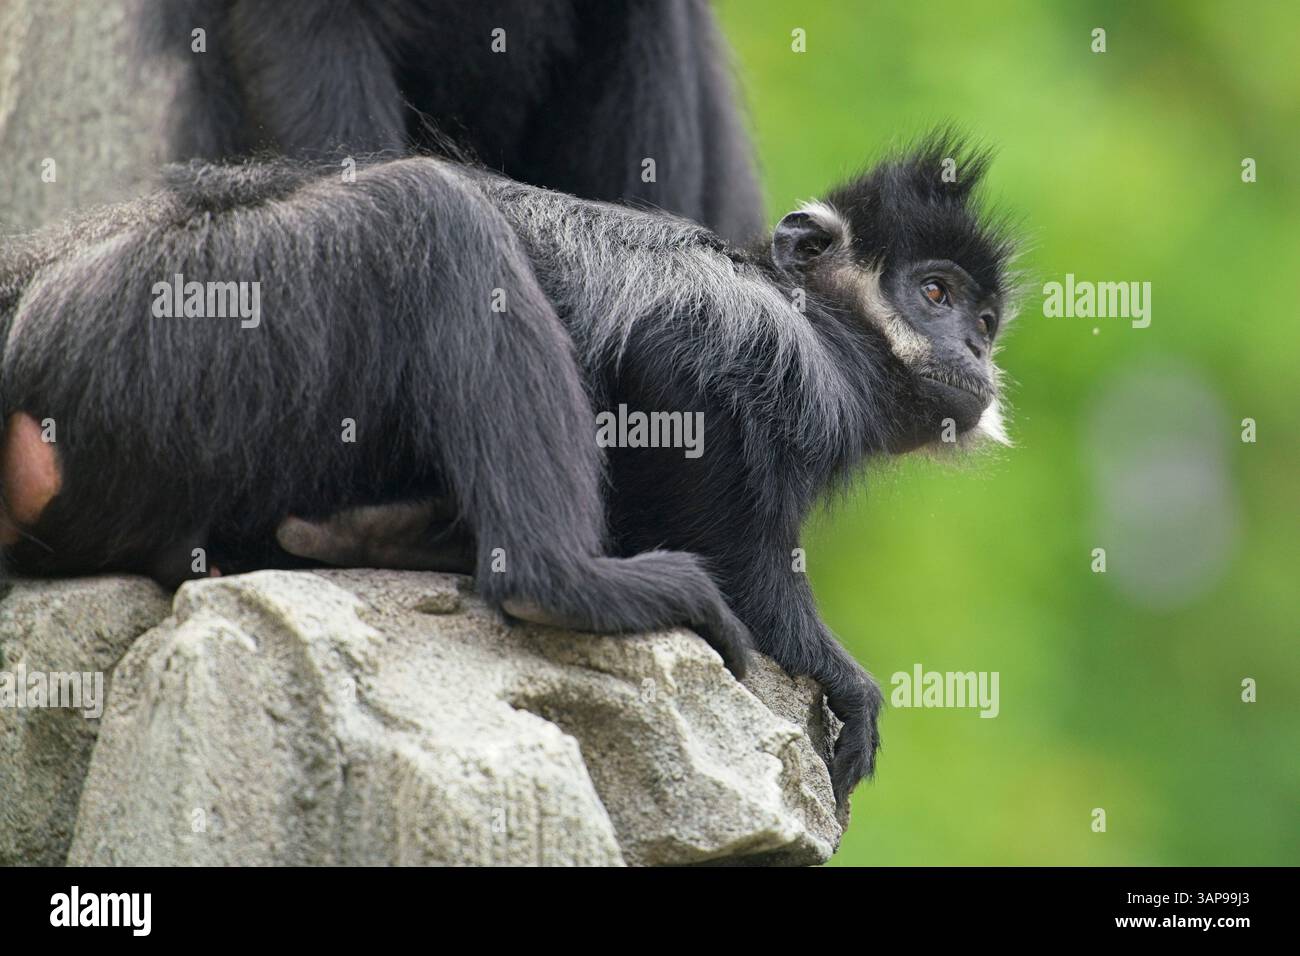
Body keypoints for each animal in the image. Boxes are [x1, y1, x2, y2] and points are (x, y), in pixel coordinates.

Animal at [0, 134, 1017, 804]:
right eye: (933, 293)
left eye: (982, 321)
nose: (972, 351)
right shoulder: (764, 344)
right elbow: (678, 389)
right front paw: (827, 665)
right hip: (175, 312)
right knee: (429, 214)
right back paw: (556, 580)